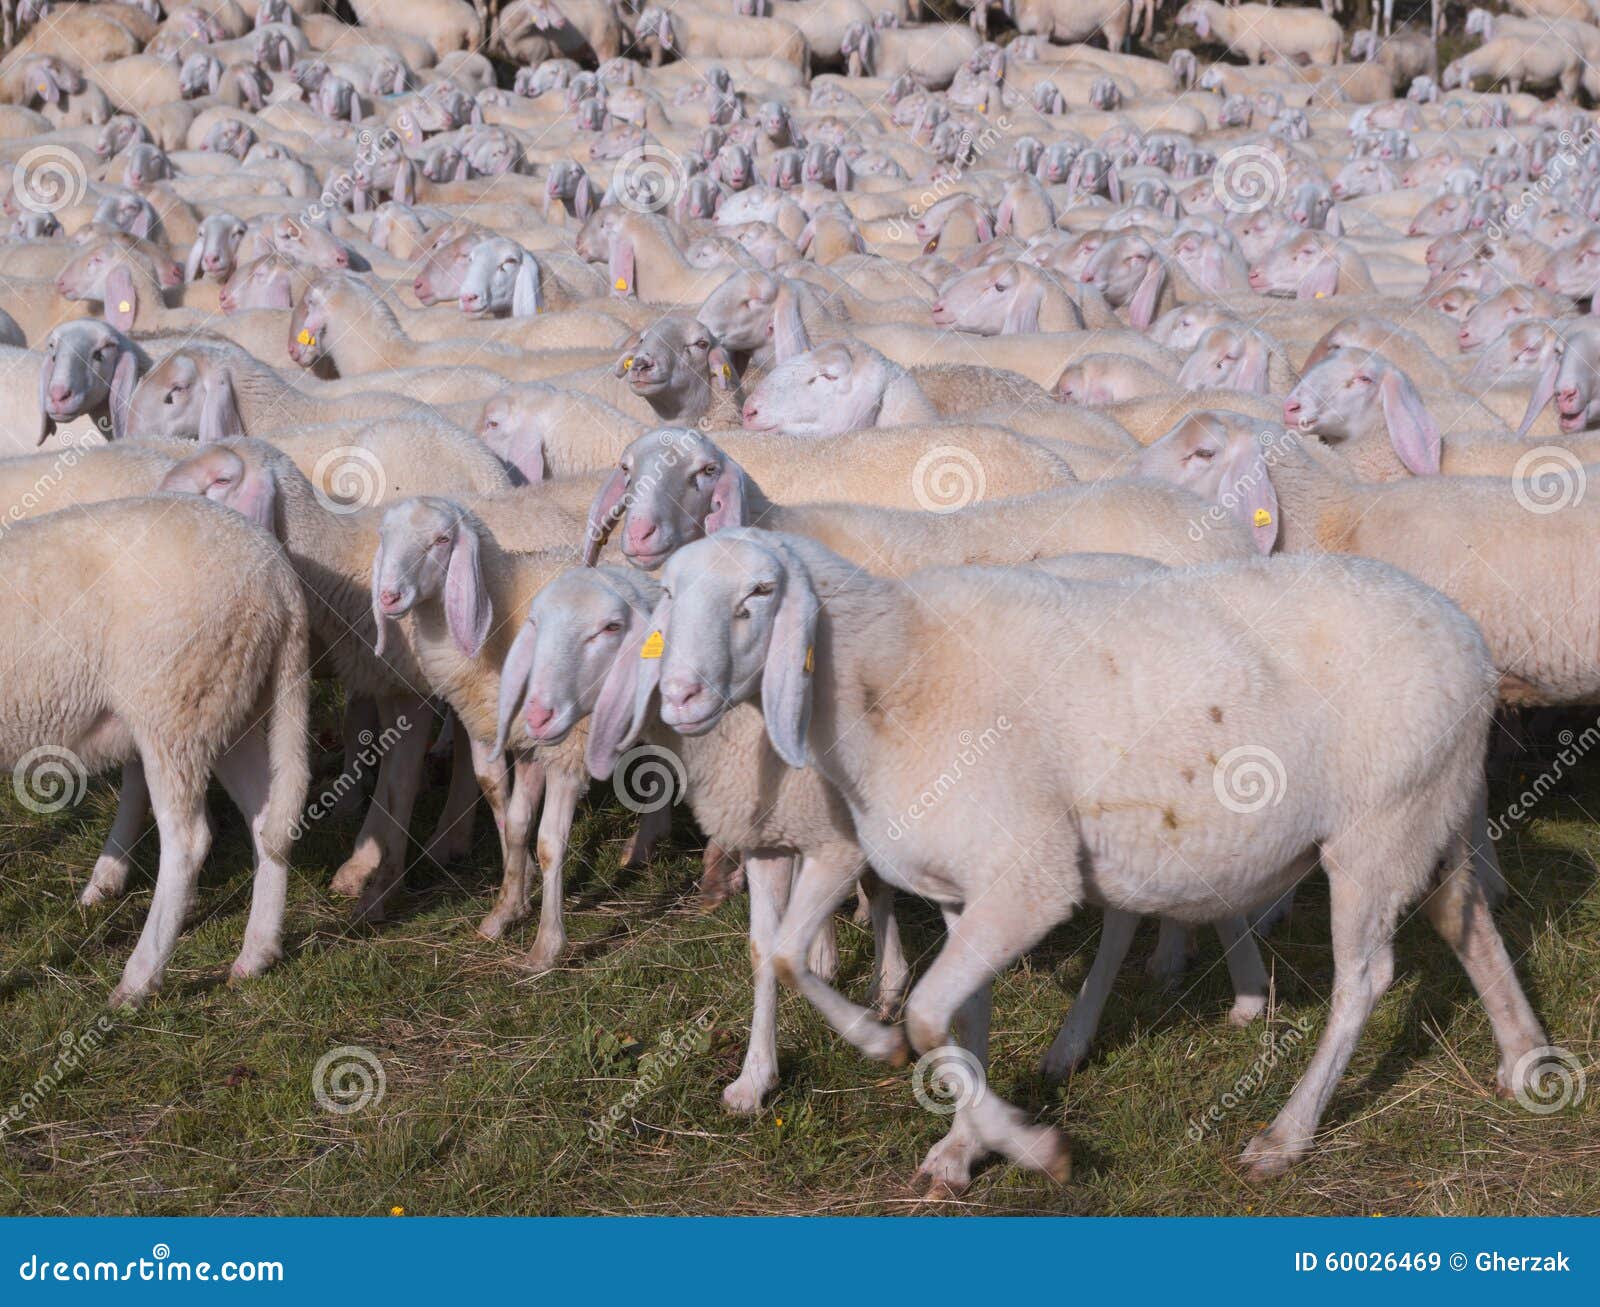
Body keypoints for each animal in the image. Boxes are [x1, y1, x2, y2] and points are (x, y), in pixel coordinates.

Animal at [0, 496, 309, 1007]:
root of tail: (279, 578)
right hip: (228, 703)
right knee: (268, 820)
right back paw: (256, 954)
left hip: (174, 701)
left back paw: (139, 980)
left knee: (188, 840)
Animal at [606, 525, 1545, 1188]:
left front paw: (1019, 1138)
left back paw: (1286, 1135)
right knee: (1467, 921)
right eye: (668, 591)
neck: (896, 677)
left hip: (1377, 828)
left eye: (760, 593)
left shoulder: (1027, 878)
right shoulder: (966, 891)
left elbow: (924, 1015)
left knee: (1364, 980)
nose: (681, 695)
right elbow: (940, 1011)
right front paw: (959, 1147)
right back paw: (1525, 1055)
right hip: (1433, 808)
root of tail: (1469, 638)